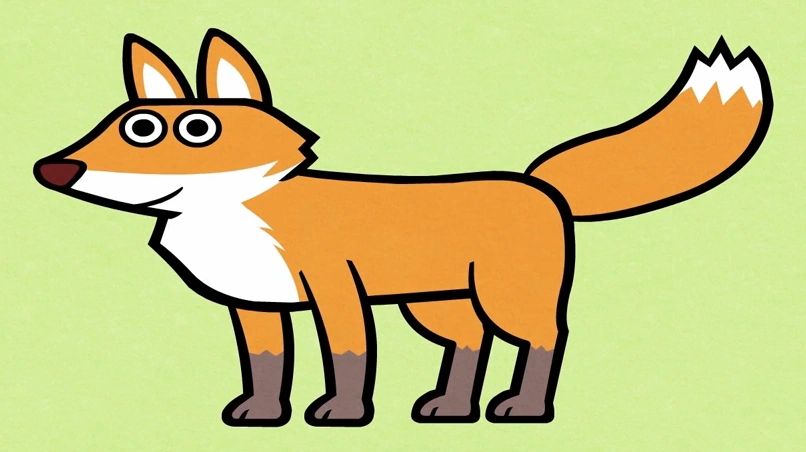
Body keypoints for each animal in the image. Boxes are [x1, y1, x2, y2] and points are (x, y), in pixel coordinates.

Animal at [34, 29, 772, 427]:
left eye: (184, 129)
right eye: (120, 122)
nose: (52, 167)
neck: (237, 214)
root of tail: (541, 184)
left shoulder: (336, 291)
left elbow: (348, 358)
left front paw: (341, 415)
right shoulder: (255, 307)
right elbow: (267, 366)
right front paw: (261, 415)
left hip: (509, 298)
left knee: (546, 340)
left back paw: (523, 408)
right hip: (435, 307)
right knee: (470, 344)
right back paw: (450, 407)